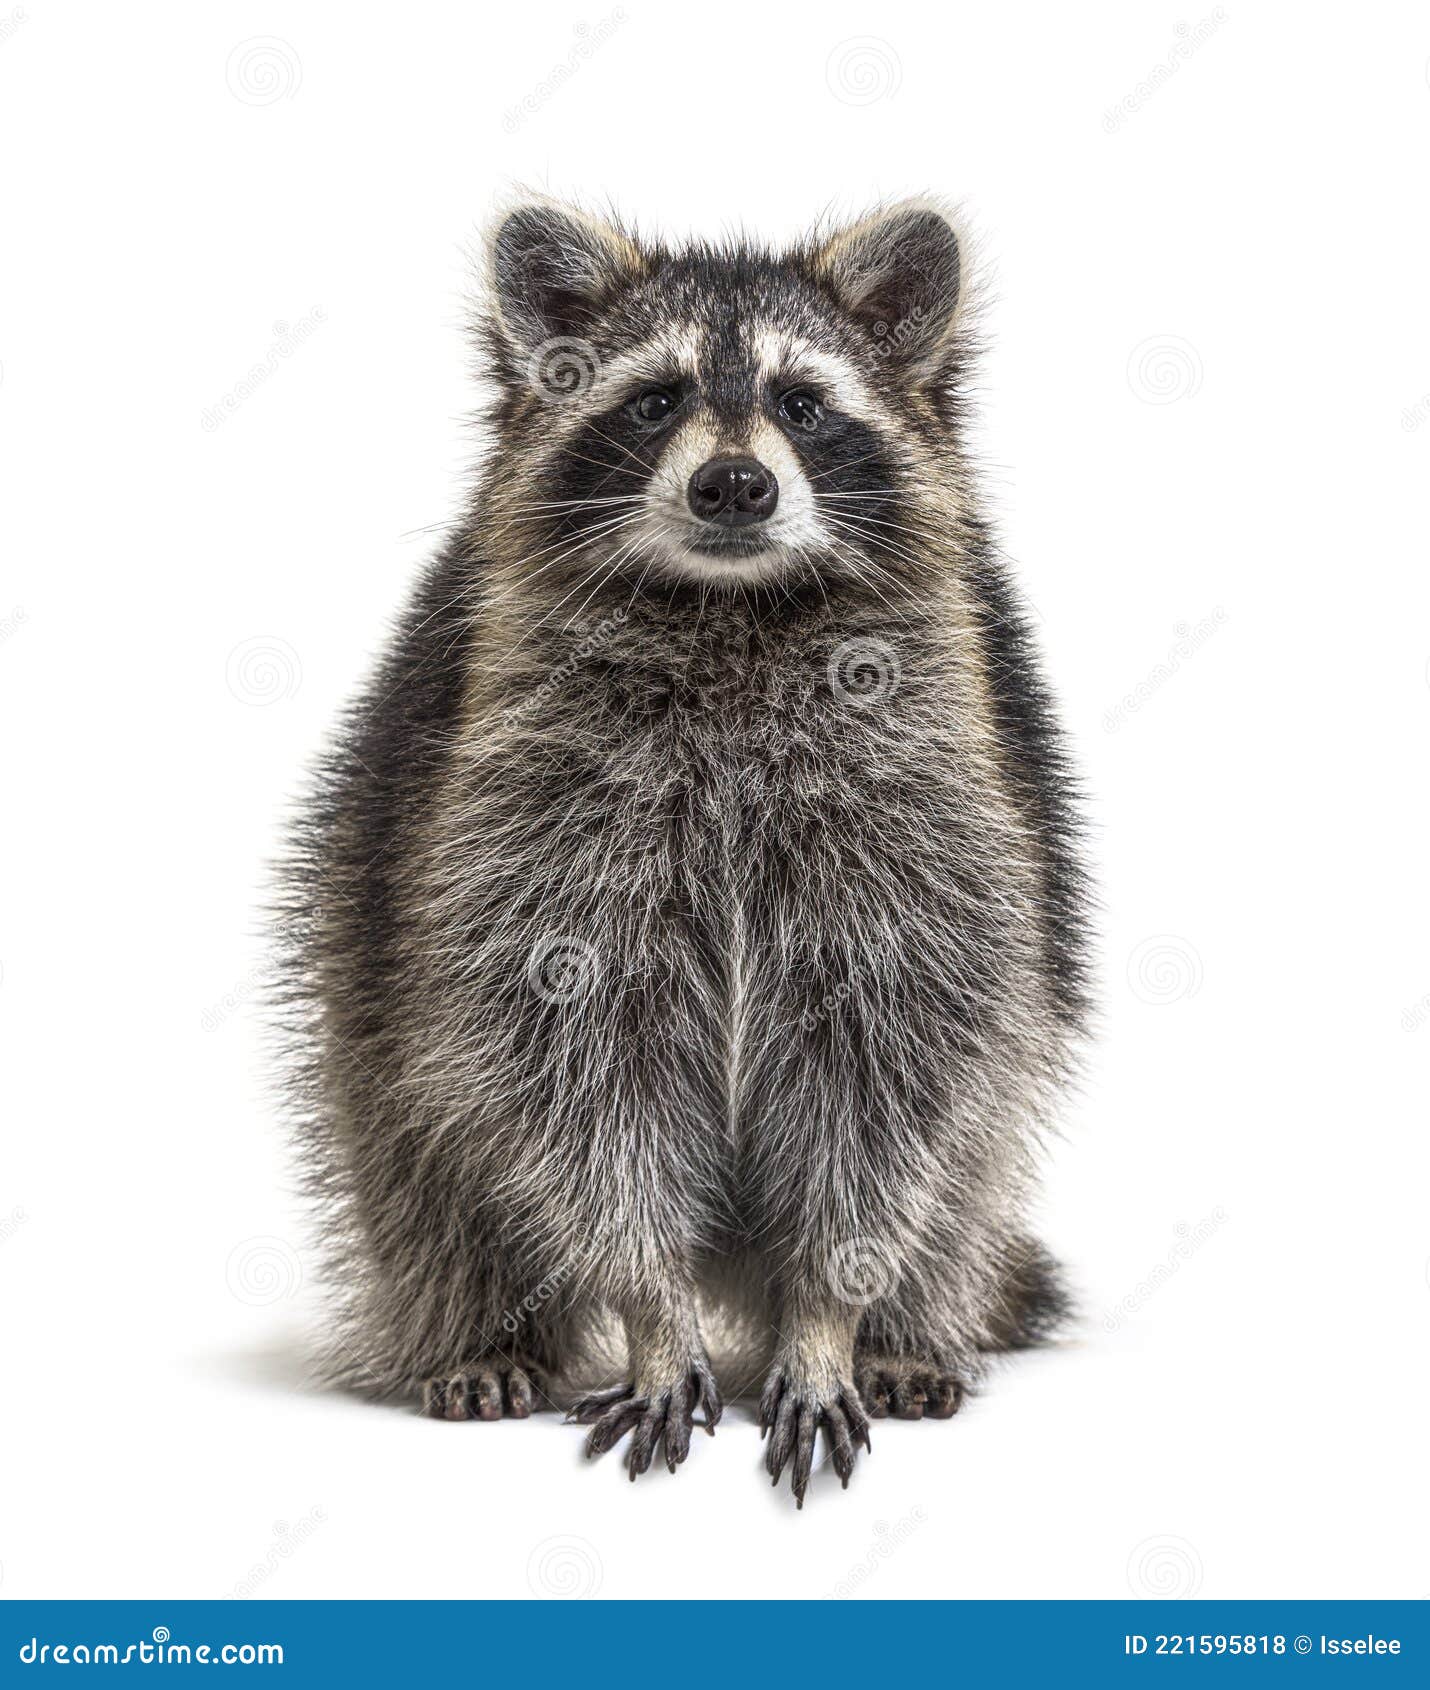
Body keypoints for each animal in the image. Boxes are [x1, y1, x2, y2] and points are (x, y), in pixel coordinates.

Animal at [275, 195, 1089, 1506]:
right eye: (653, 400)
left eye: (803, 403)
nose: (734, 484)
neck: (729, 608)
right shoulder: (519, 820)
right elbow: (566, 1071)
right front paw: (650, 1307)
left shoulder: (933, 811)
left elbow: (895, 1076)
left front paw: (828, 1315)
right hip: (366, 953)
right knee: (411, 1169)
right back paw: (476, 1332)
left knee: (969, 1158)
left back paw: (910, 1327)